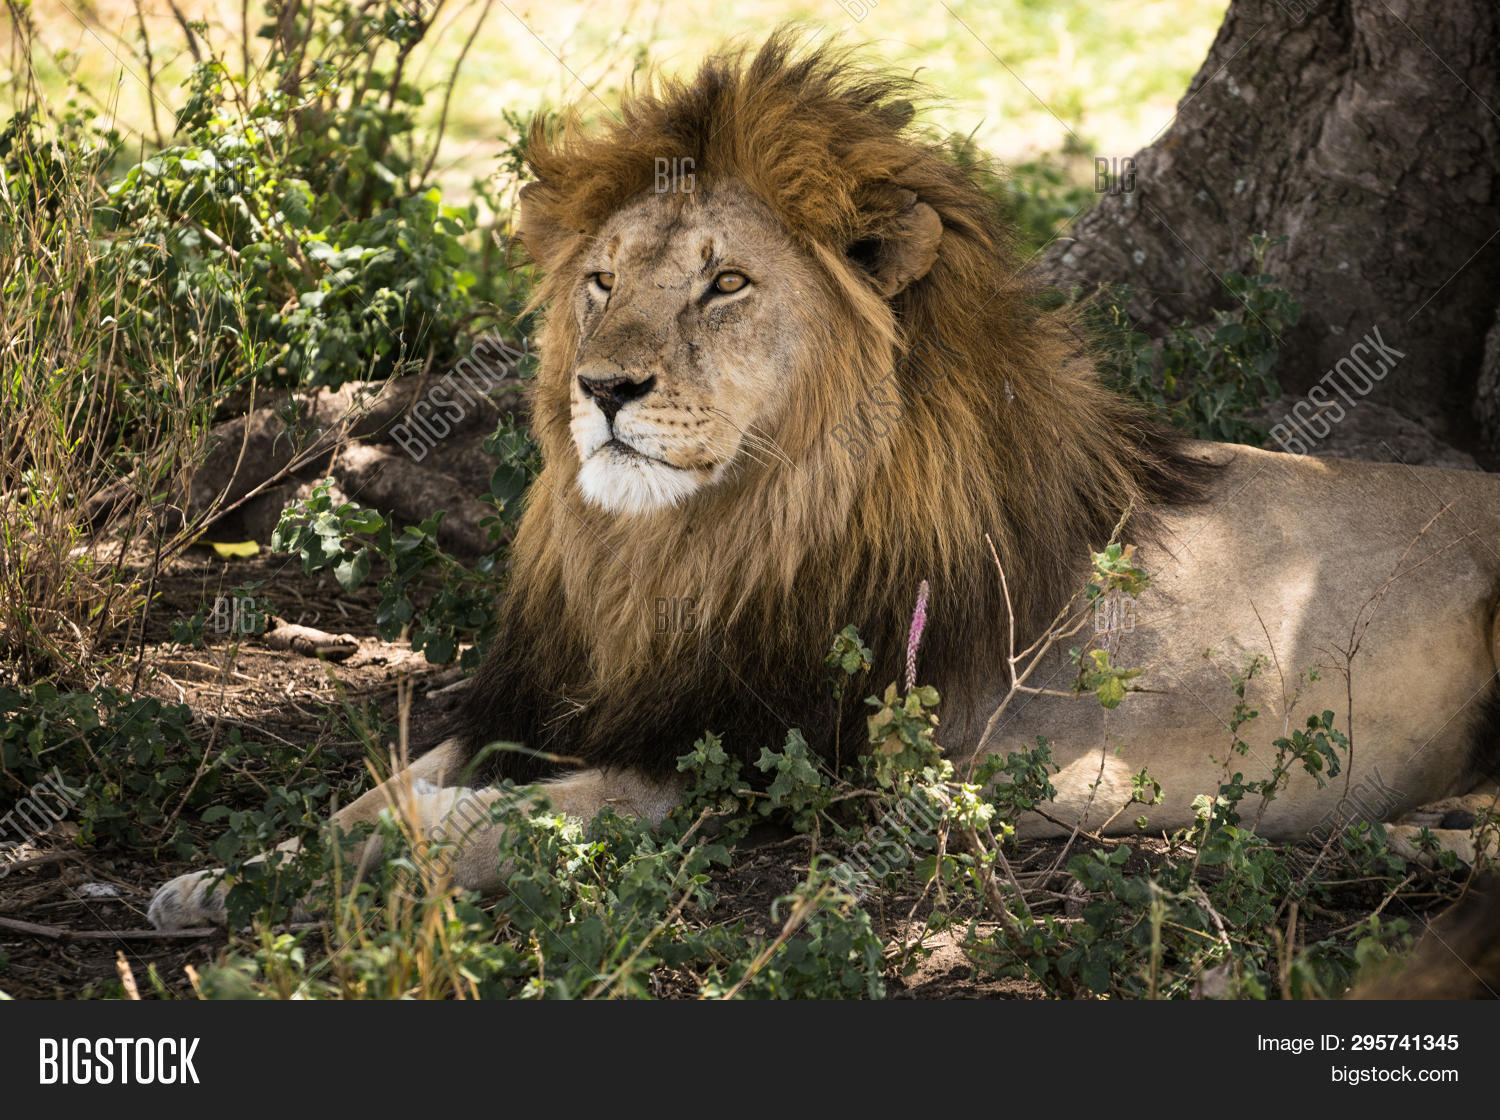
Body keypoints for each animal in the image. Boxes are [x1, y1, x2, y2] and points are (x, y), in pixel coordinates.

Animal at [149, 32, 1500, 931]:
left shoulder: (748, 767)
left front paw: (310, 874)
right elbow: (384, 789)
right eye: (600, 280)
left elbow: (474, 829)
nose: (603, 389)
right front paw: (218, 872)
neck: (675, 549)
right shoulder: (546, 699)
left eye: (724, 285)